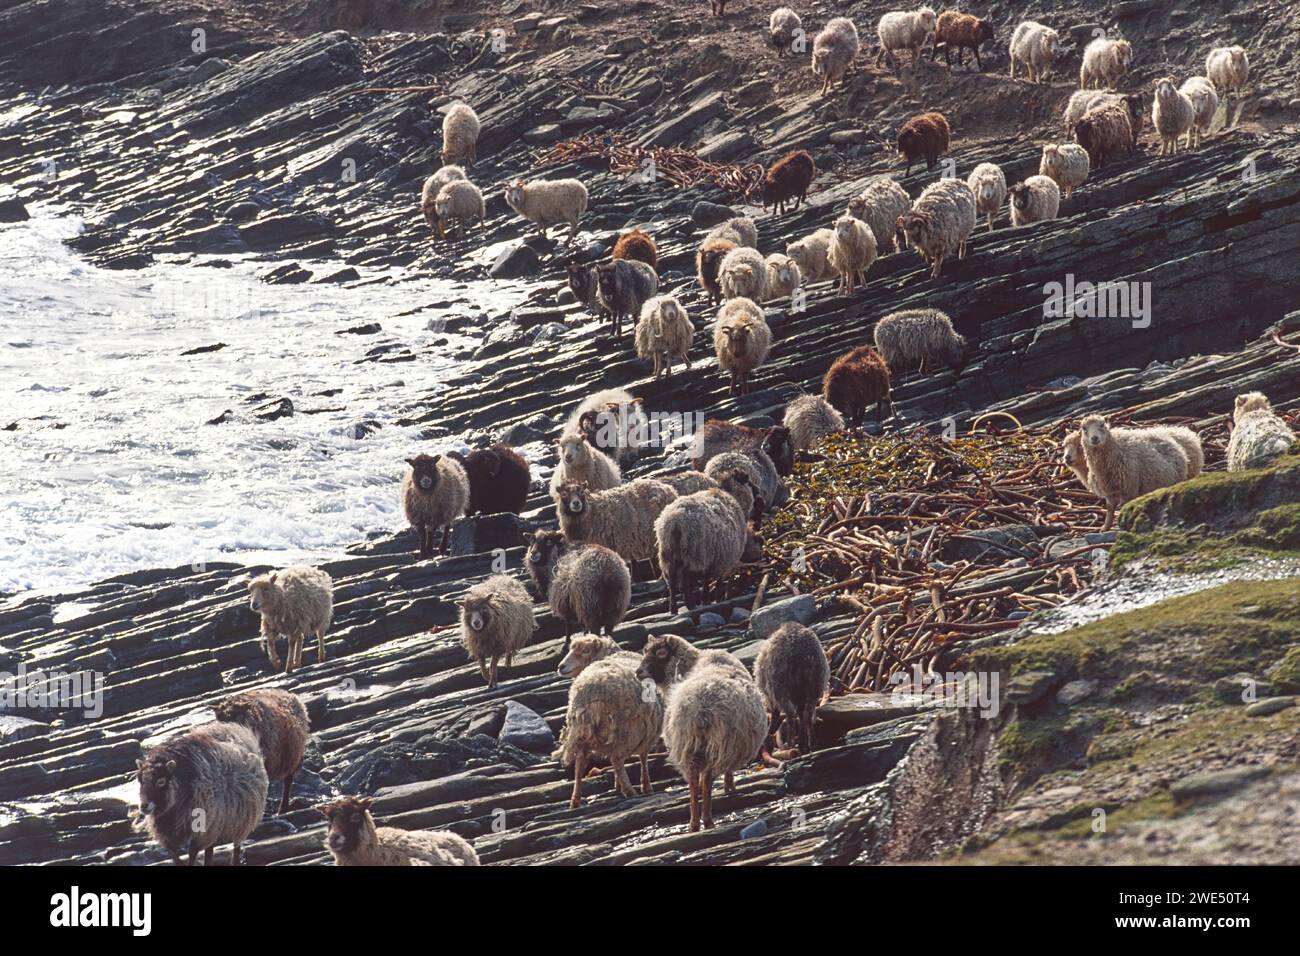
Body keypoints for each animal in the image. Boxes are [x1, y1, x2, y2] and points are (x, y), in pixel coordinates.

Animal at [136, 722, 268, 866]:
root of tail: (237, 730)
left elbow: (192, 853)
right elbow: (174, 855)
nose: (144, 806)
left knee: (236, 845)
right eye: (140, 780)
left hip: (240, 820)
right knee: (210, 849)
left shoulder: (202, 830)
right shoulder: (168, 833)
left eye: (161, 781)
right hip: (217, 821)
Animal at [556, 649, 663, 807]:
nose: (561, 667)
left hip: (582, 731)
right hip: (627, 730)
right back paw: (630, 791)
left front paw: (618, 786)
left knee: (580, 764)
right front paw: (646, 786)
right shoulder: (648, 733)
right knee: (616, 759)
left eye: (584, 652)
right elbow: (643, 758)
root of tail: (592, 691)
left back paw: (575, 799)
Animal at [635, 635, 767, 831]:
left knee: (693, 780)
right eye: (645, 651)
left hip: (689, 744)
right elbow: (728, 770)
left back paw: (694, 822)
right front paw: (730, 787)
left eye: (661, 653)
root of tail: (701, 707)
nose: (638, 672)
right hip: (716, 743)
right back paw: (707, 819)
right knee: (706, 779)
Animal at [754, 622, 829, 754]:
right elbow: (801, 713)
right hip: (814, 684)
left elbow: (776, 713)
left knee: (790, 714)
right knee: (806, 712)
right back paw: (809, 742)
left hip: (780, 687)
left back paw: (791, 743)